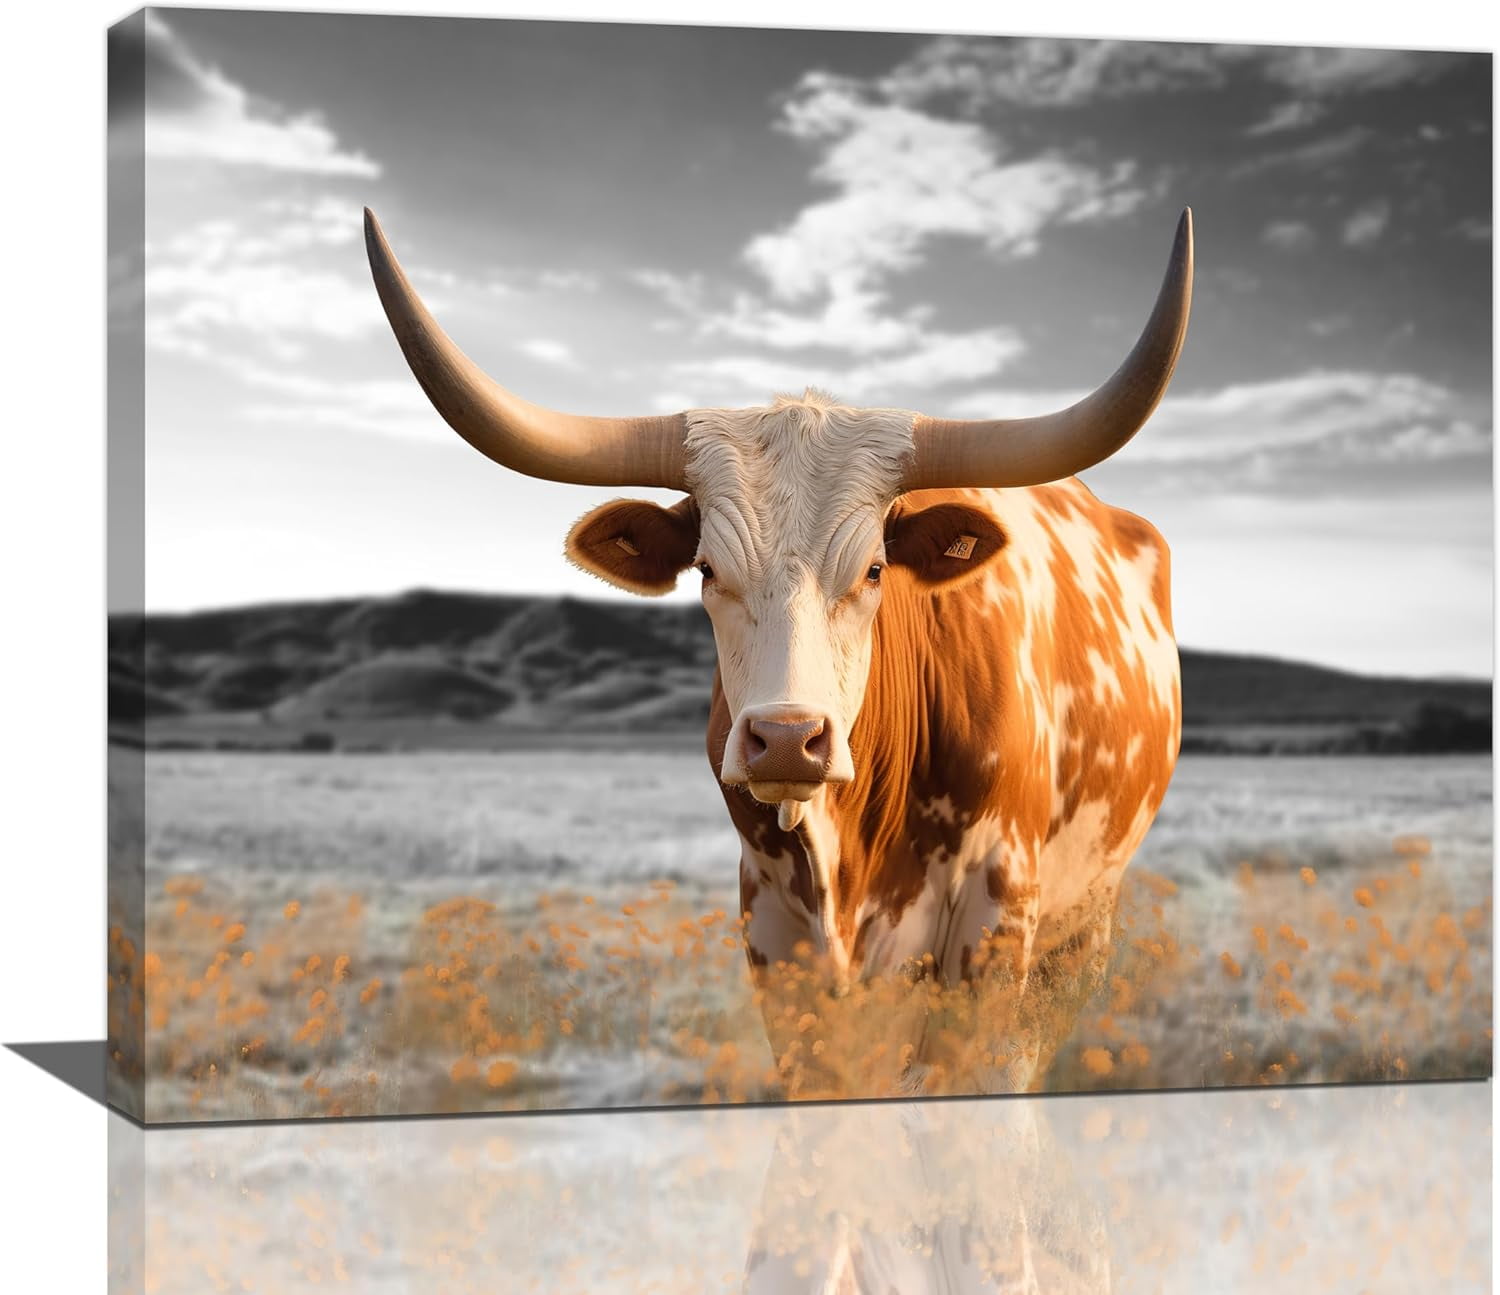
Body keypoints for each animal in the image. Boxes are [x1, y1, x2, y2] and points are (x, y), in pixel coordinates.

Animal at [364, 206, 1192, 1096]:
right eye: (706, 569)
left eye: (874, 570)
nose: (789, 739)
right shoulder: (774, 932)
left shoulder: (994, 927)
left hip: (1081, 929)